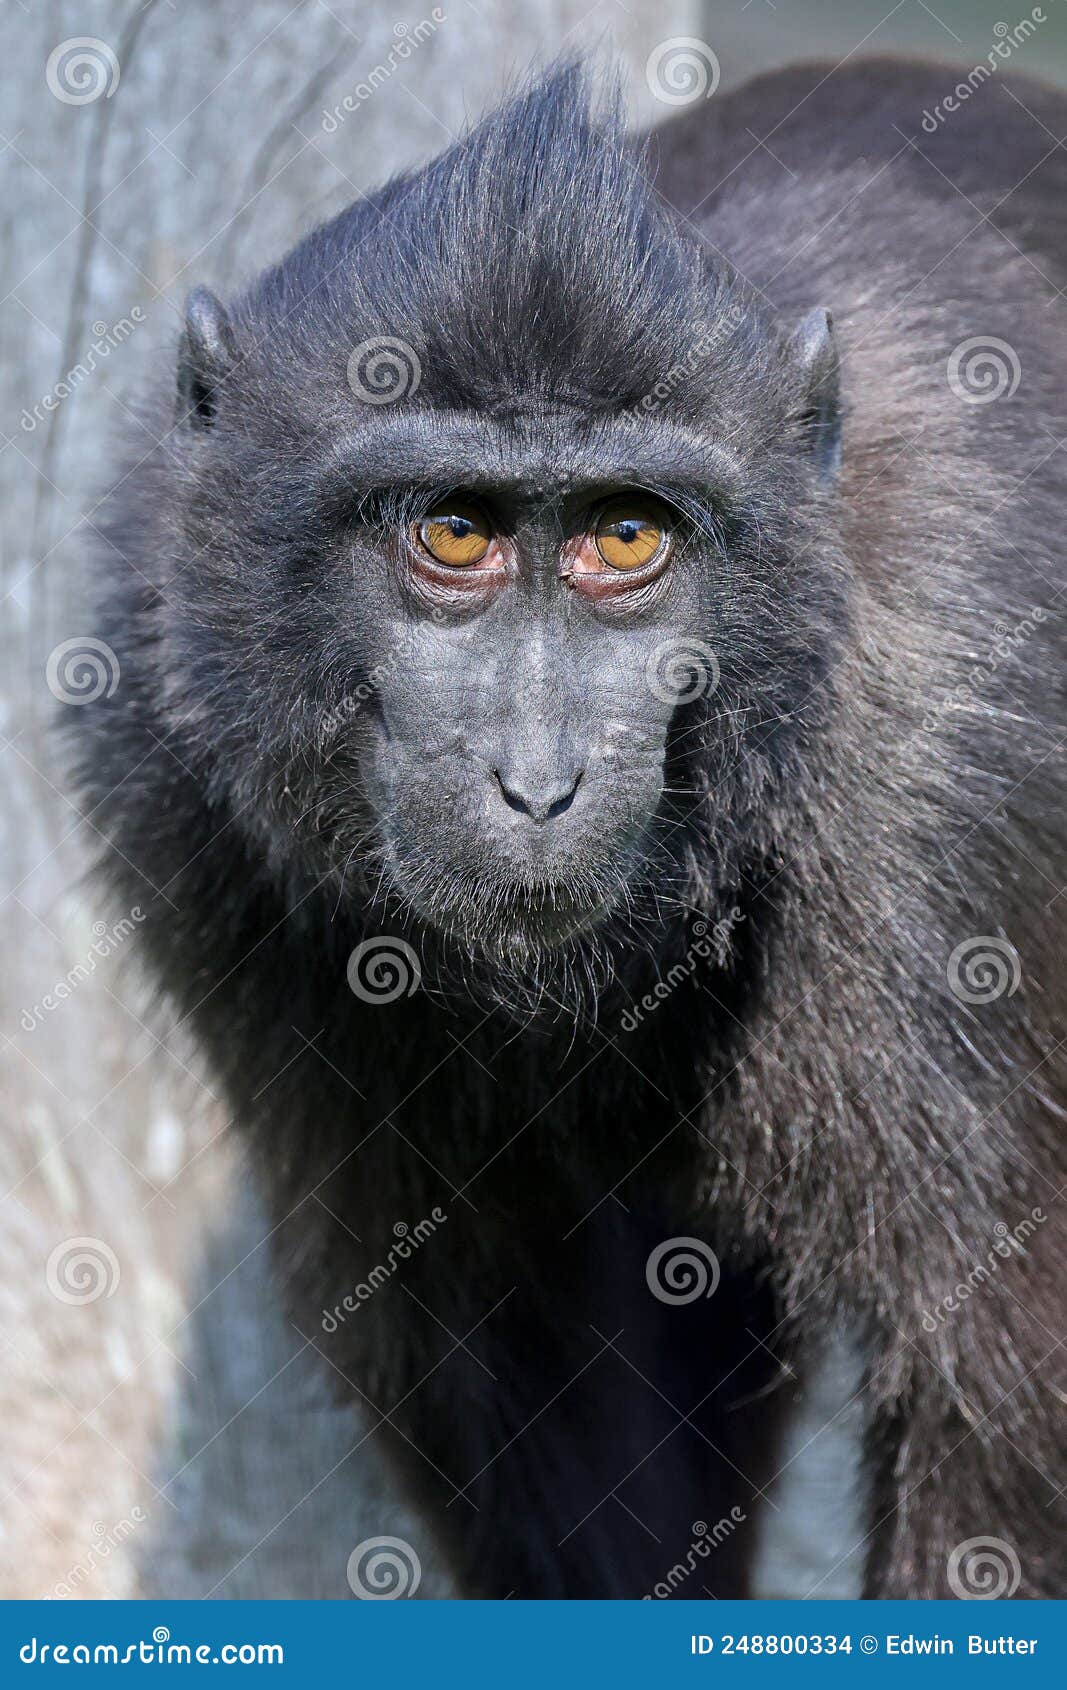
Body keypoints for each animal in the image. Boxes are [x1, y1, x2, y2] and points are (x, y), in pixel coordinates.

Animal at [70, 56, 1067, 1599]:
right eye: (455, 535)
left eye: (625, 537)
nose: (537, 783)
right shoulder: (168, 750)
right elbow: (490, 1340)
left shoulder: (961, 721)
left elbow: (998, 1375)